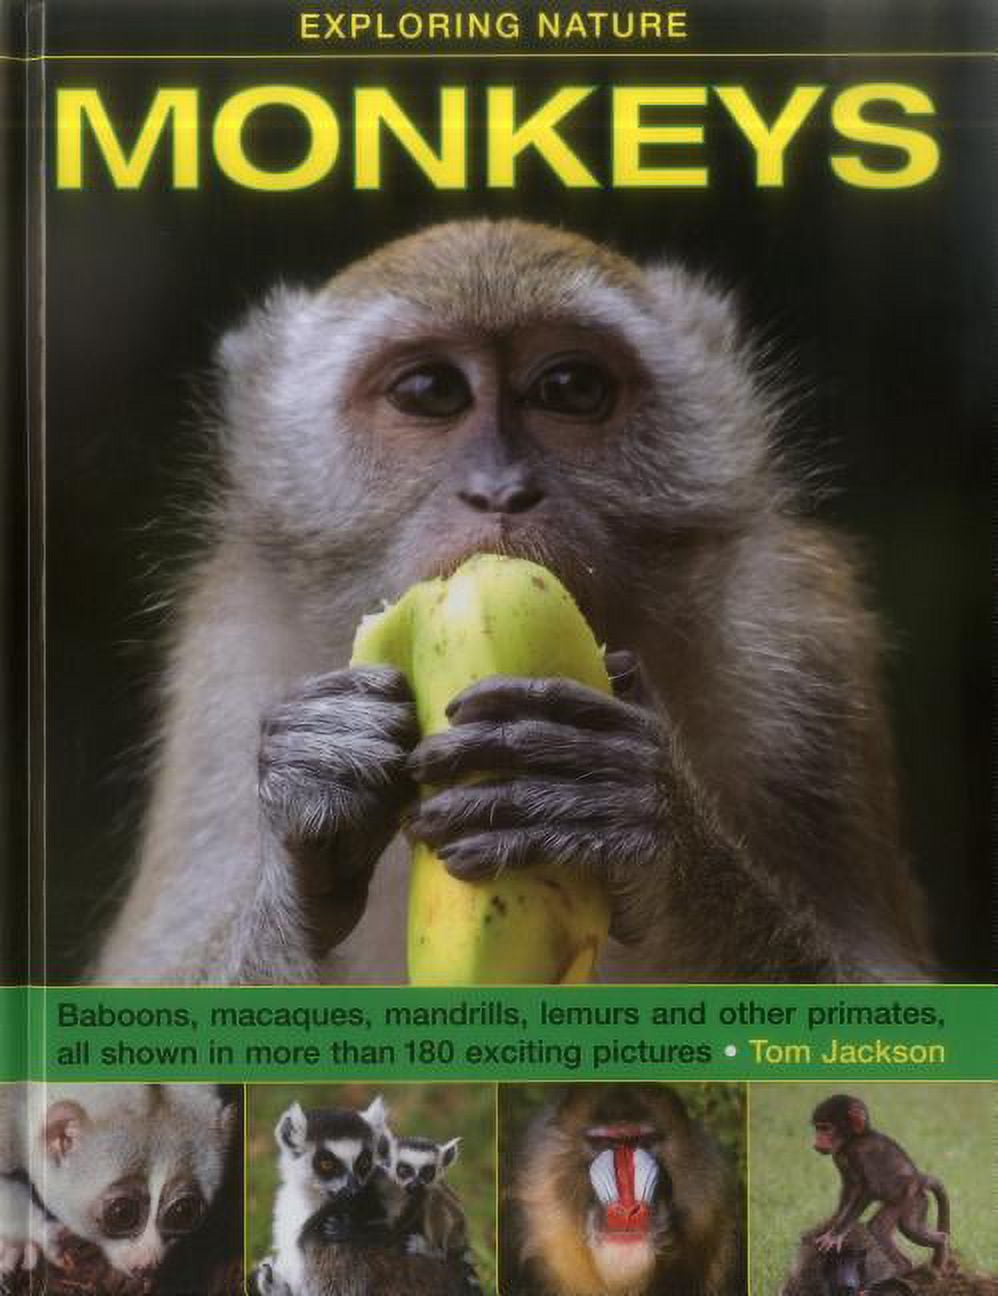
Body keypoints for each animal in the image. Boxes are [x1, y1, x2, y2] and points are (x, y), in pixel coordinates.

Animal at [90, 218, 936, 987]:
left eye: (570, 388)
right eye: (431, 392)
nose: (500, 491)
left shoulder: (804, 646)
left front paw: (641, 816)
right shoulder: (221, 670)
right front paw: (313, 802)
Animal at [809, 1095, 950, 1275]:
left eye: (827, 1128)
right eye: (818, 1128)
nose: (817, 1141)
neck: (853, 1140)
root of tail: (919, 1180)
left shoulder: (861, 1153)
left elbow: (869, 1189)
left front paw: (835, 1235)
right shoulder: (839, 1157)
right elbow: (849, 1187)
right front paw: (833, 1221)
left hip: (906, 1200)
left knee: (883, 1228)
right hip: (916, 1203)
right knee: (907, 1227)